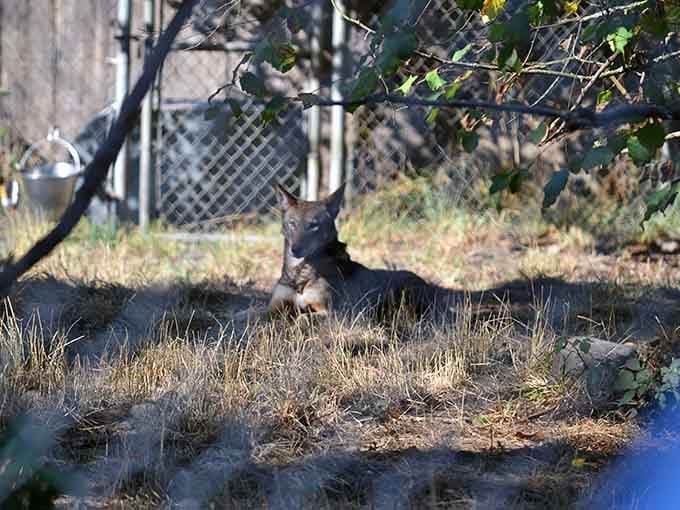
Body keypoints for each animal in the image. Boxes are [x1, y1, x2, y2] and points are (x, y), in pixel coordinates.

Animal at [268, 183, 439, 317]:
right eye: (292, 223)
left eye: (313, 226)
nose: (295, 249)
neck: (299, 275)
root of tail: (427, 283)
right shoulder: (274, 307)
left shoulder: (331, 313)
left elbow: (301, 318)